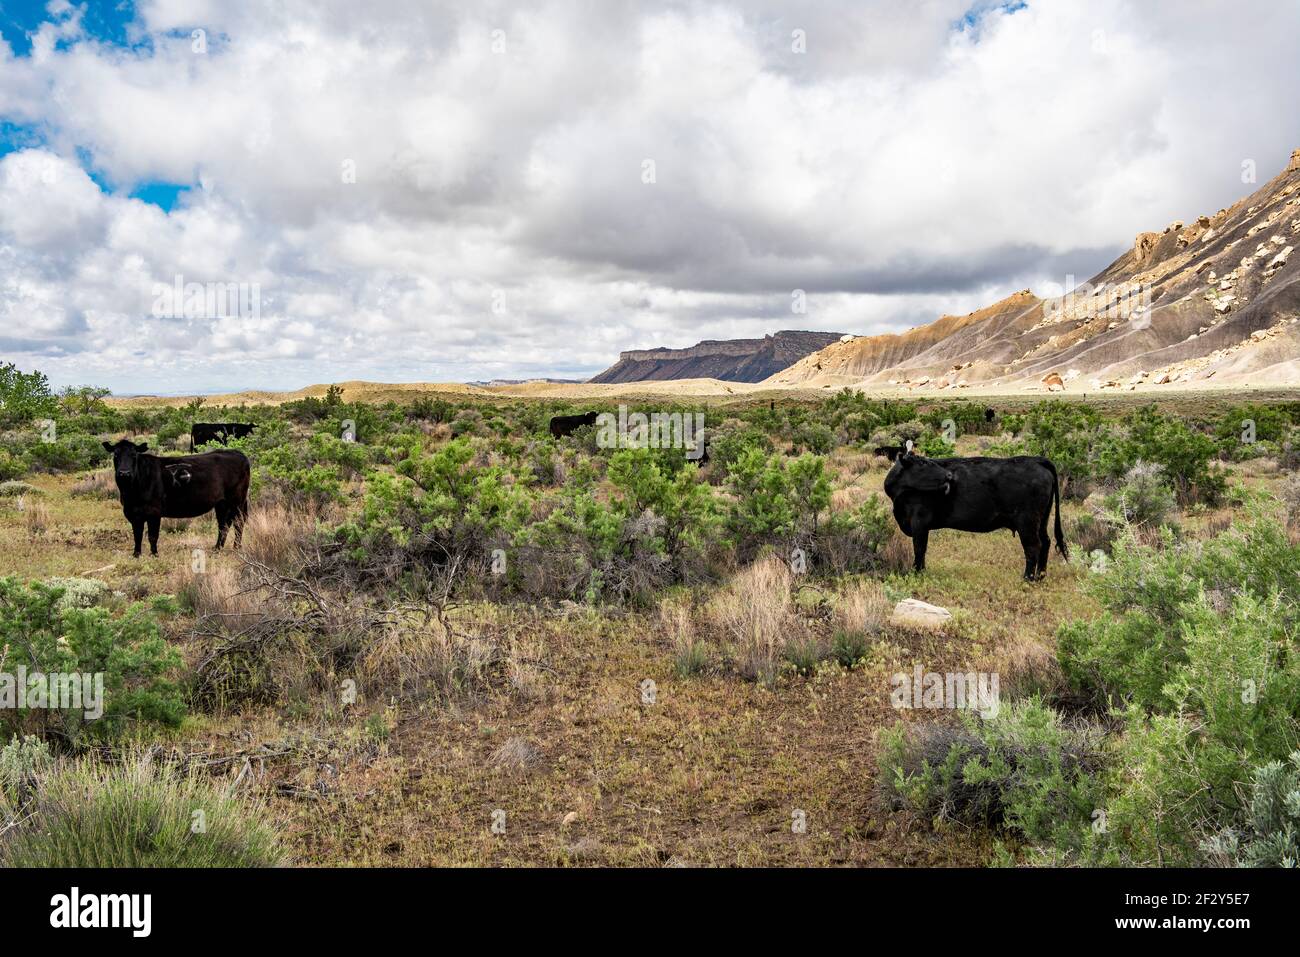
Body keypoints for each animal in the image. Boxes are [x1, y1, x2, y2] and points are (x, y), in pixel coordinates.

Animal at [101, 439, 251, 558]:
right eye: (116, 454)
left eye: (134, 455)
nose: (124, 473)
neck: (130, 494)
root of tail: (238, 453)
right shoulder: (133, 513)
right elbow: (137, 535)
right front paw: (136, 554)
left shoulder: (154, 512)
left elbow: (152, 535)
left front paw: (154, 554)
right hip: (221, 503)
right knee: (223, 524)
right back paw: (217, 548)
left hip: (237, 500)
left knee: (238, 522)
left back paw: (236, 548)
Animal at [883, 450, 1067, 581]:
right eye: (922, 463)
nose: (950, 475)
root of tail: (1036, 459)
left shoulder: (919, 522)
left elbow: (919, 548)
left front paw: (916, 573)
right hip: (1042, 520)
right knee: (1046, 542)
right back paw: (1040, 576)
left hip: (1027, 521)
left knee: (1033, 546)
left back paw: (1027, 579)